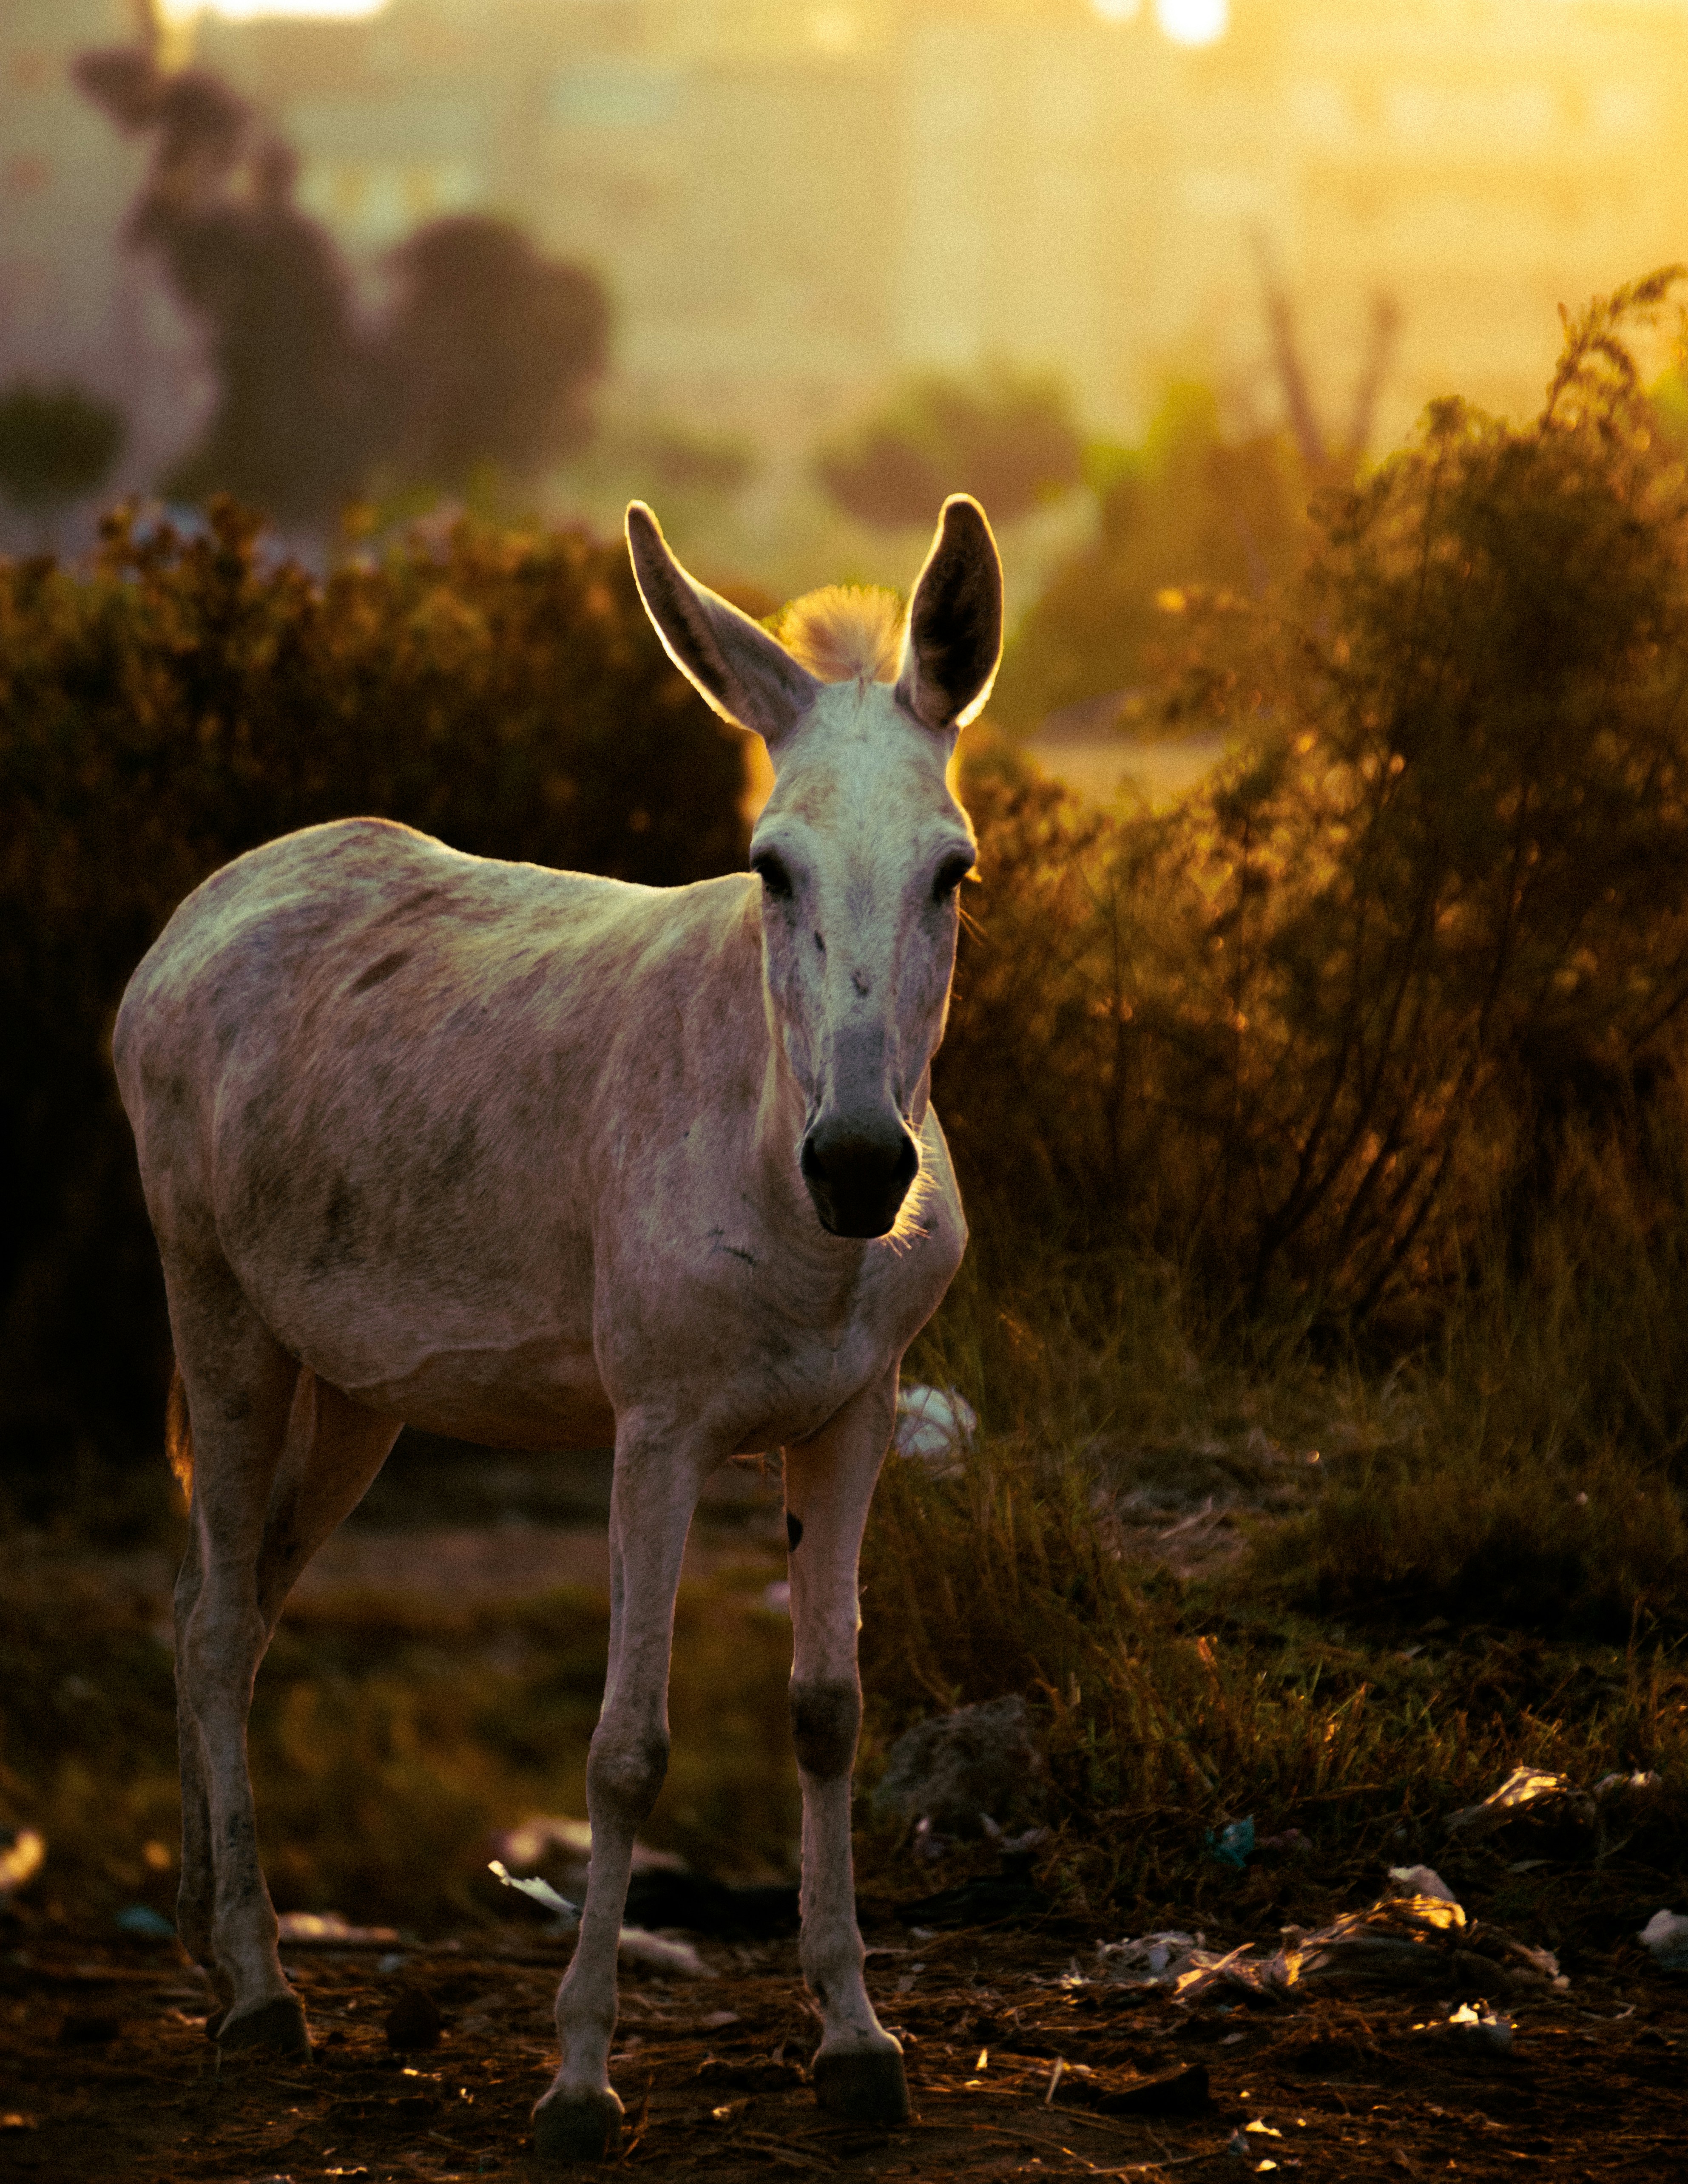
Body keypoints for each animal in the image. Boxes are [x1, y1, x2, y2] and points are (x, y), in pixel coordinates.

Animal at [113, 492, 1002, 2162]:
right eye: (771, 870)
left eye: (953, 875)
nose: (864, 1166)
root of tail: (220, 890)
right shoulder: (656, 1428)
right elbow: (628, 1745)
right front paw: (580, 2078)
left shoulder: (853, 1415)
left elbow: (831, 1709)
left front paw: (855, 2040)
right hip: (219, 1309)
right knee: (208, 1617)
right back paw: (260, 1992)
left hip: (359, 1381)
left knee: (231, 1605)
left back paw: (207, 1936)